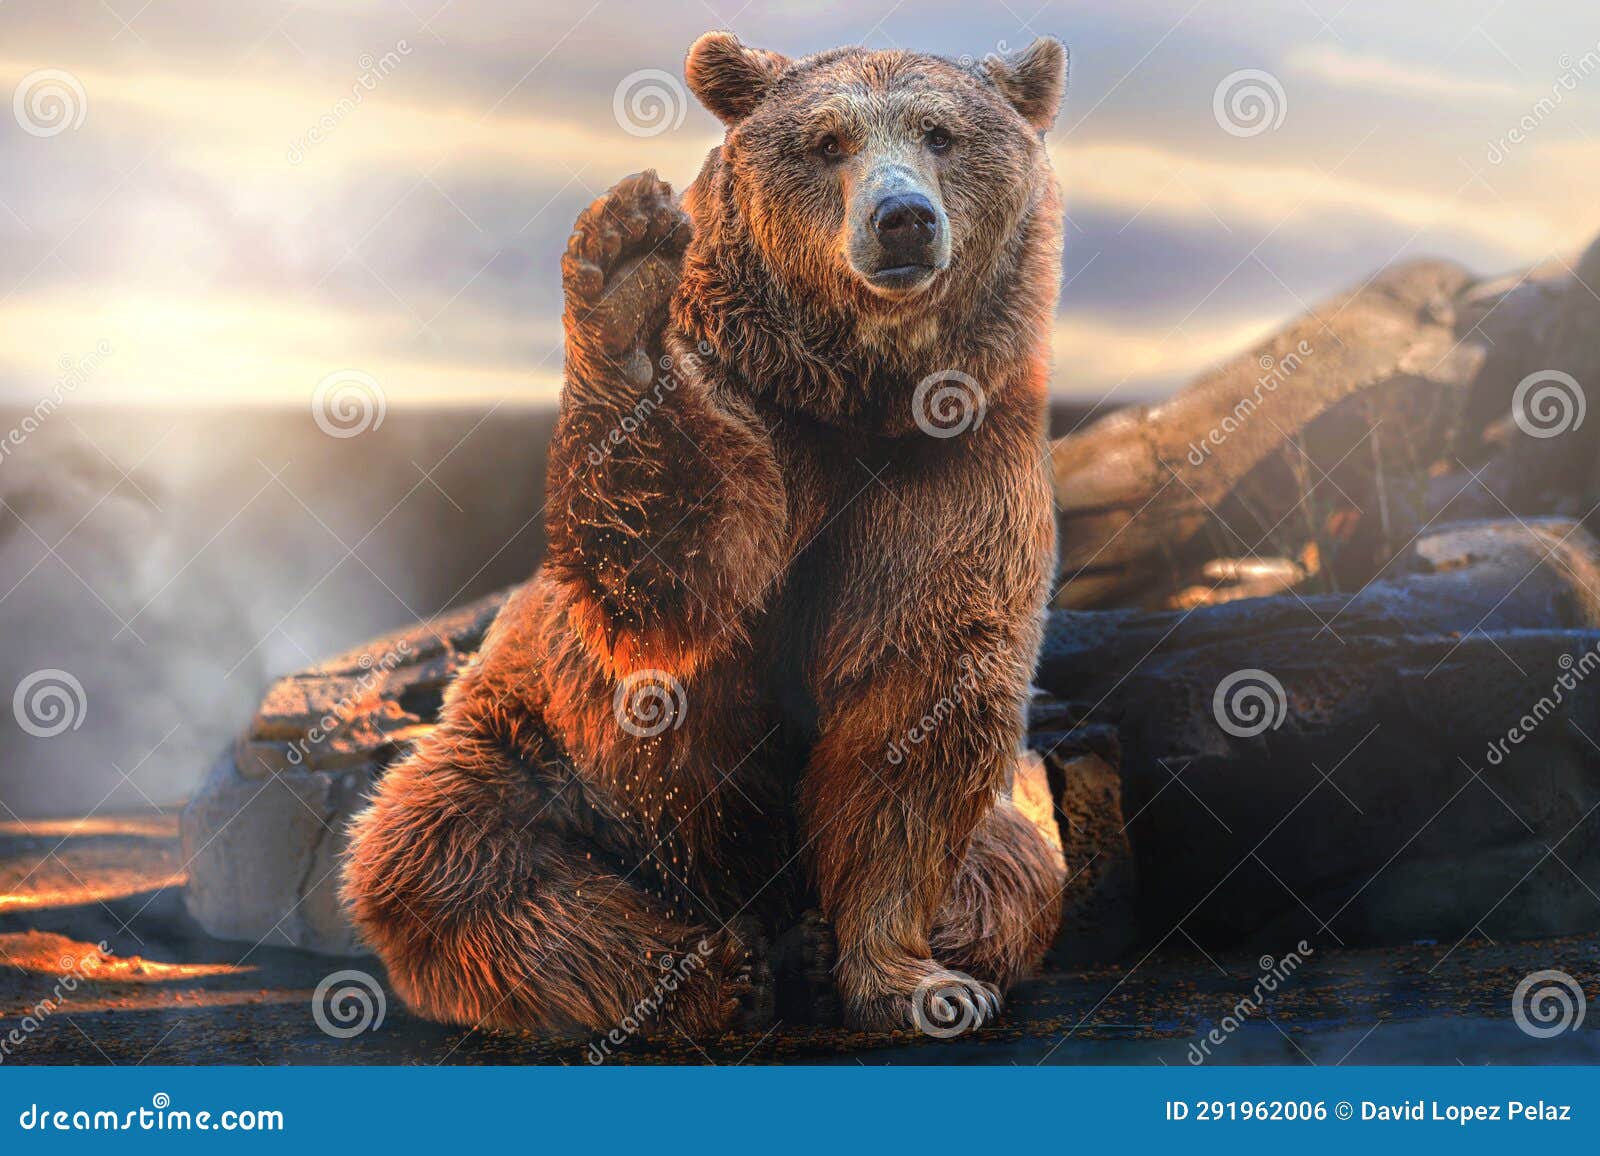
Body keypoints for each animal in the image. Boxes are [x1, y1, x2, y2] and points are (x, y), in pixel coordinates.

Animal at [341, 30, 1070, 1039]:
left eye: (941, 133)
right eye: (828, 140)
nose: (904, 220)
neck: (857, 392)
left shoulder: (952, 465)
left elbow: (916, 696)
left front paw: (915, 980)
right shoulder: (748, 414)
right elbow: (675, 575)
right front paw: (628, 272)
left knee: (1020, 869)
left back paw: (825, 941)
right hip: (526, 749)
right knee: (450, 862)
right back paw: (704, 972)